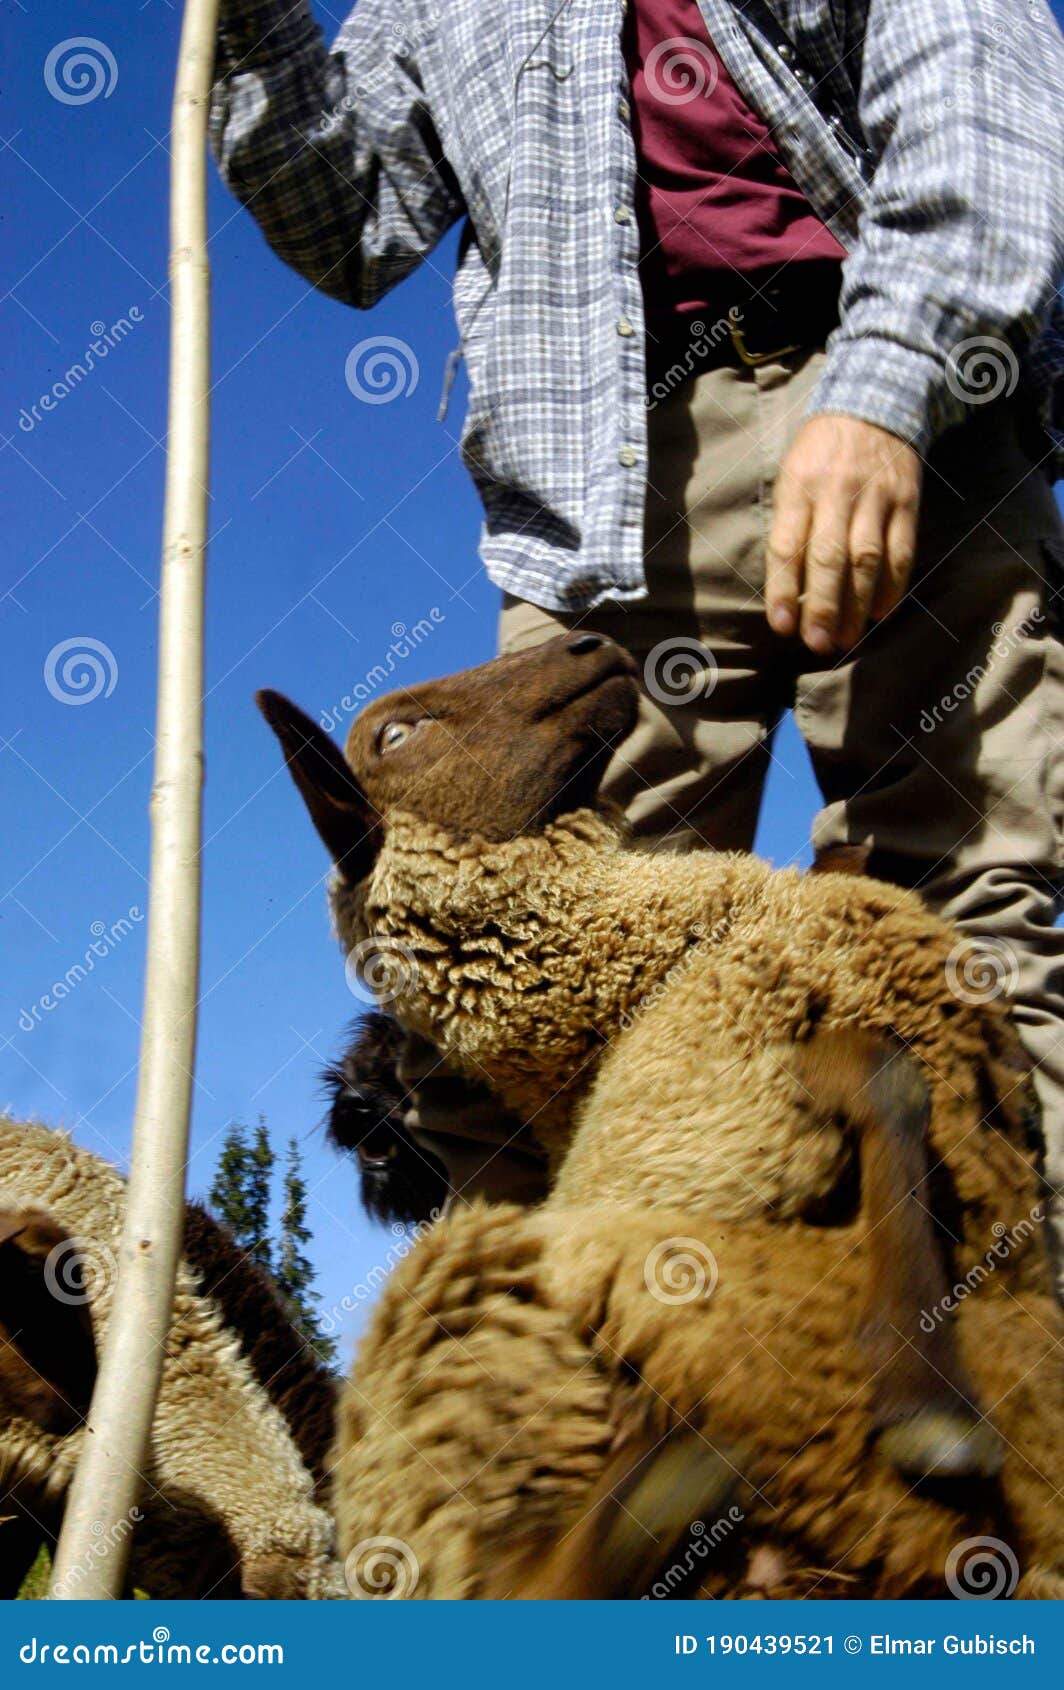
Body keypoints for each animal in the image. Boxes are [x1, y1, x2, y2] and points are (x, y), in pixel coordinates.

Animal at [258, 633, 1064, 1596]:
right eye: (395, 734)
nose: (591, 641)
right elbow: (875, 1074)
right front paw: (930, 1410)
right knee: (526, 1583)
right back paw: (661, 1495)